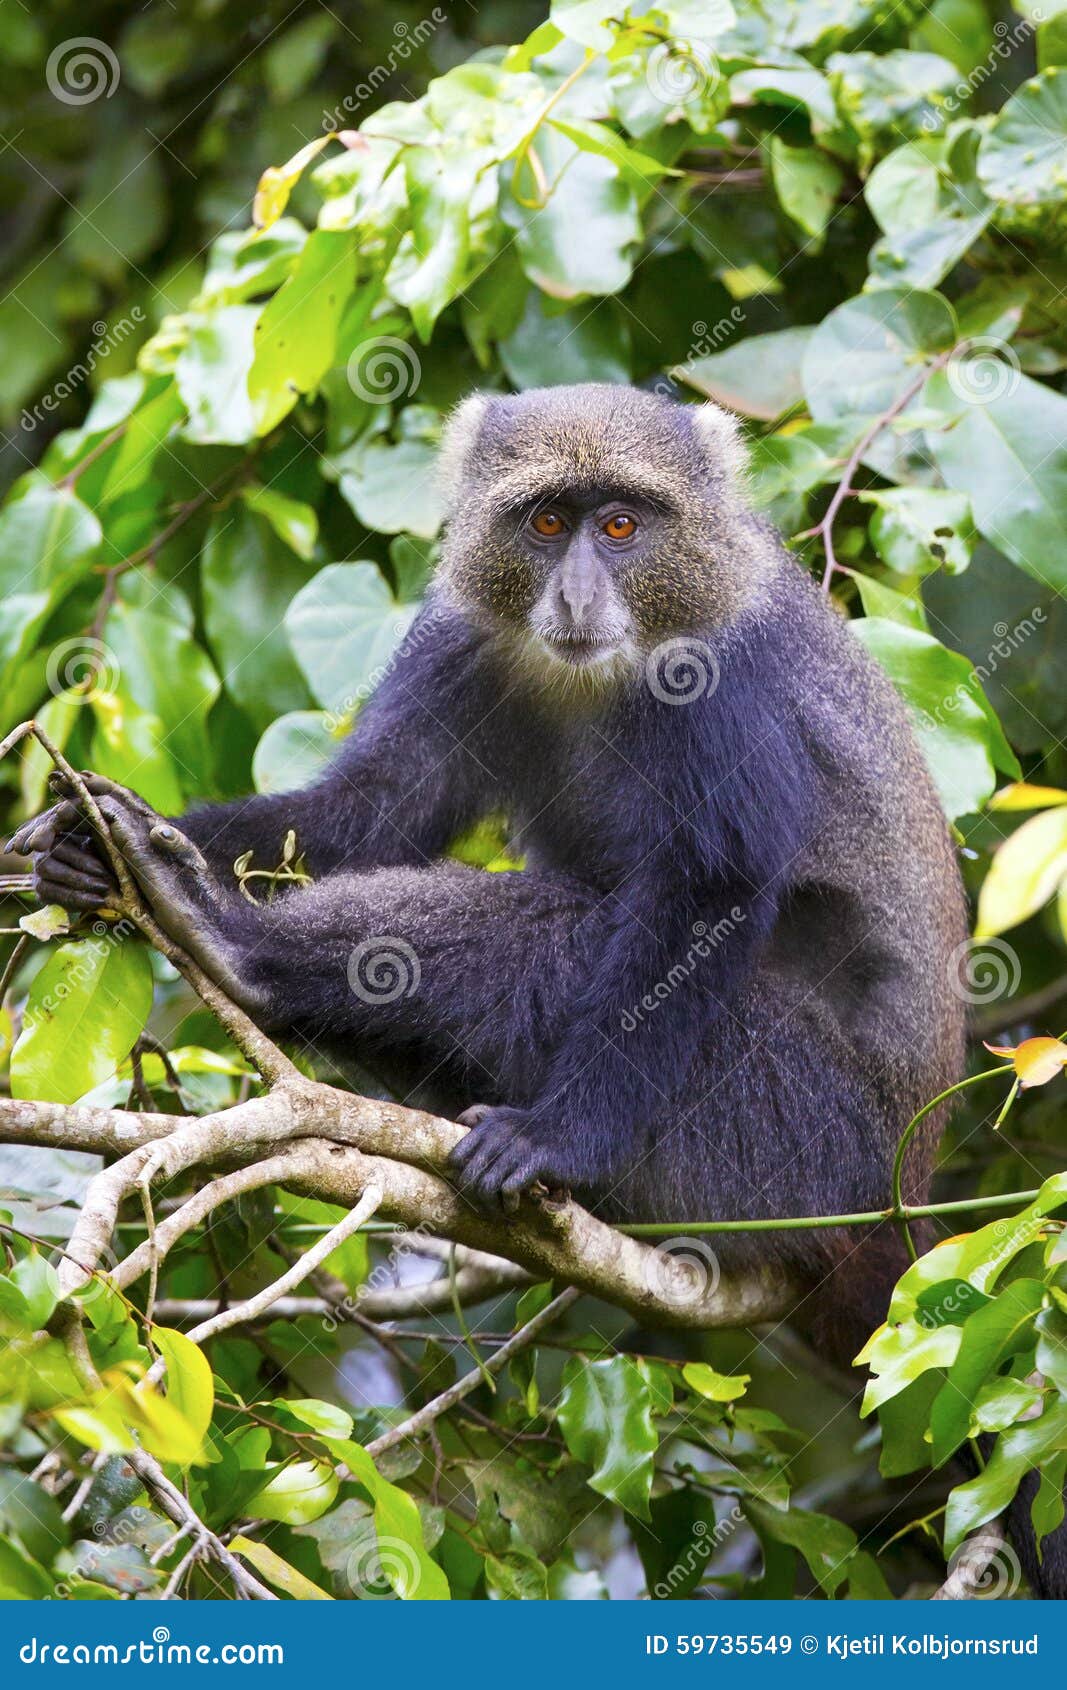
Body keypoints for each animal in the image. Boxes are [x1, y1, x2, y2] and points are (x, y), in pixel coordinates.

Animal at [11, 383, 968, 1371]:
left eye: (620, 526)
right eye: (546, 522)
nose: (577, 594)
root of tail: (896, 1185)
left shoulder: (721, 673)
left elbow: (712, 892)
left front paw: (560, 1140)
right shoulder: (460, 638)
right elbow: (368, 809)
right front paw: (82, 840)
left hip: (792, 1131)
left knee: (550, 936)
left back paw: (239, 951)